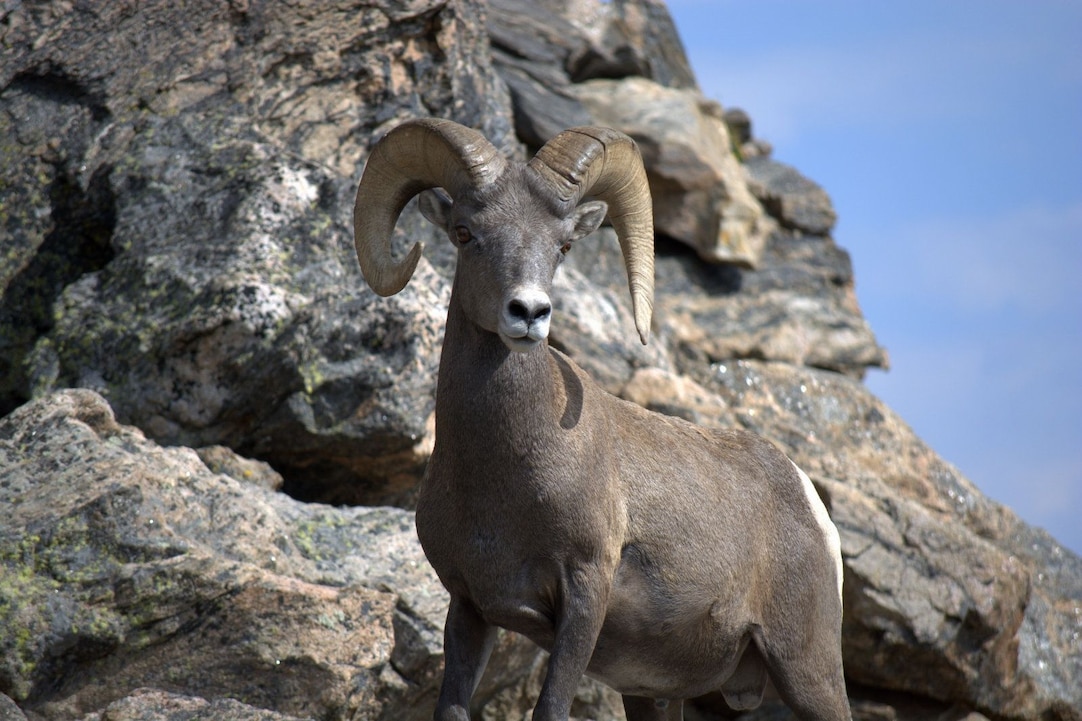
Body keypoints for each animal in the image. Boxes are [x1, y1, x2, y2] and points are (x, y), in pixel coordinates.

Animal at [352, 118, 852, 721]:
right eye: (465, 233)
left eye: (563, 245)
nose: (529, 313)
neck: (500, 476)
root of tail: (808, 499)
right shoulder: (470, 606)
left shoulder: (584, 596)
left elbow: (551, 708)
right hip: (654, 694)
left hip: (807, 669)